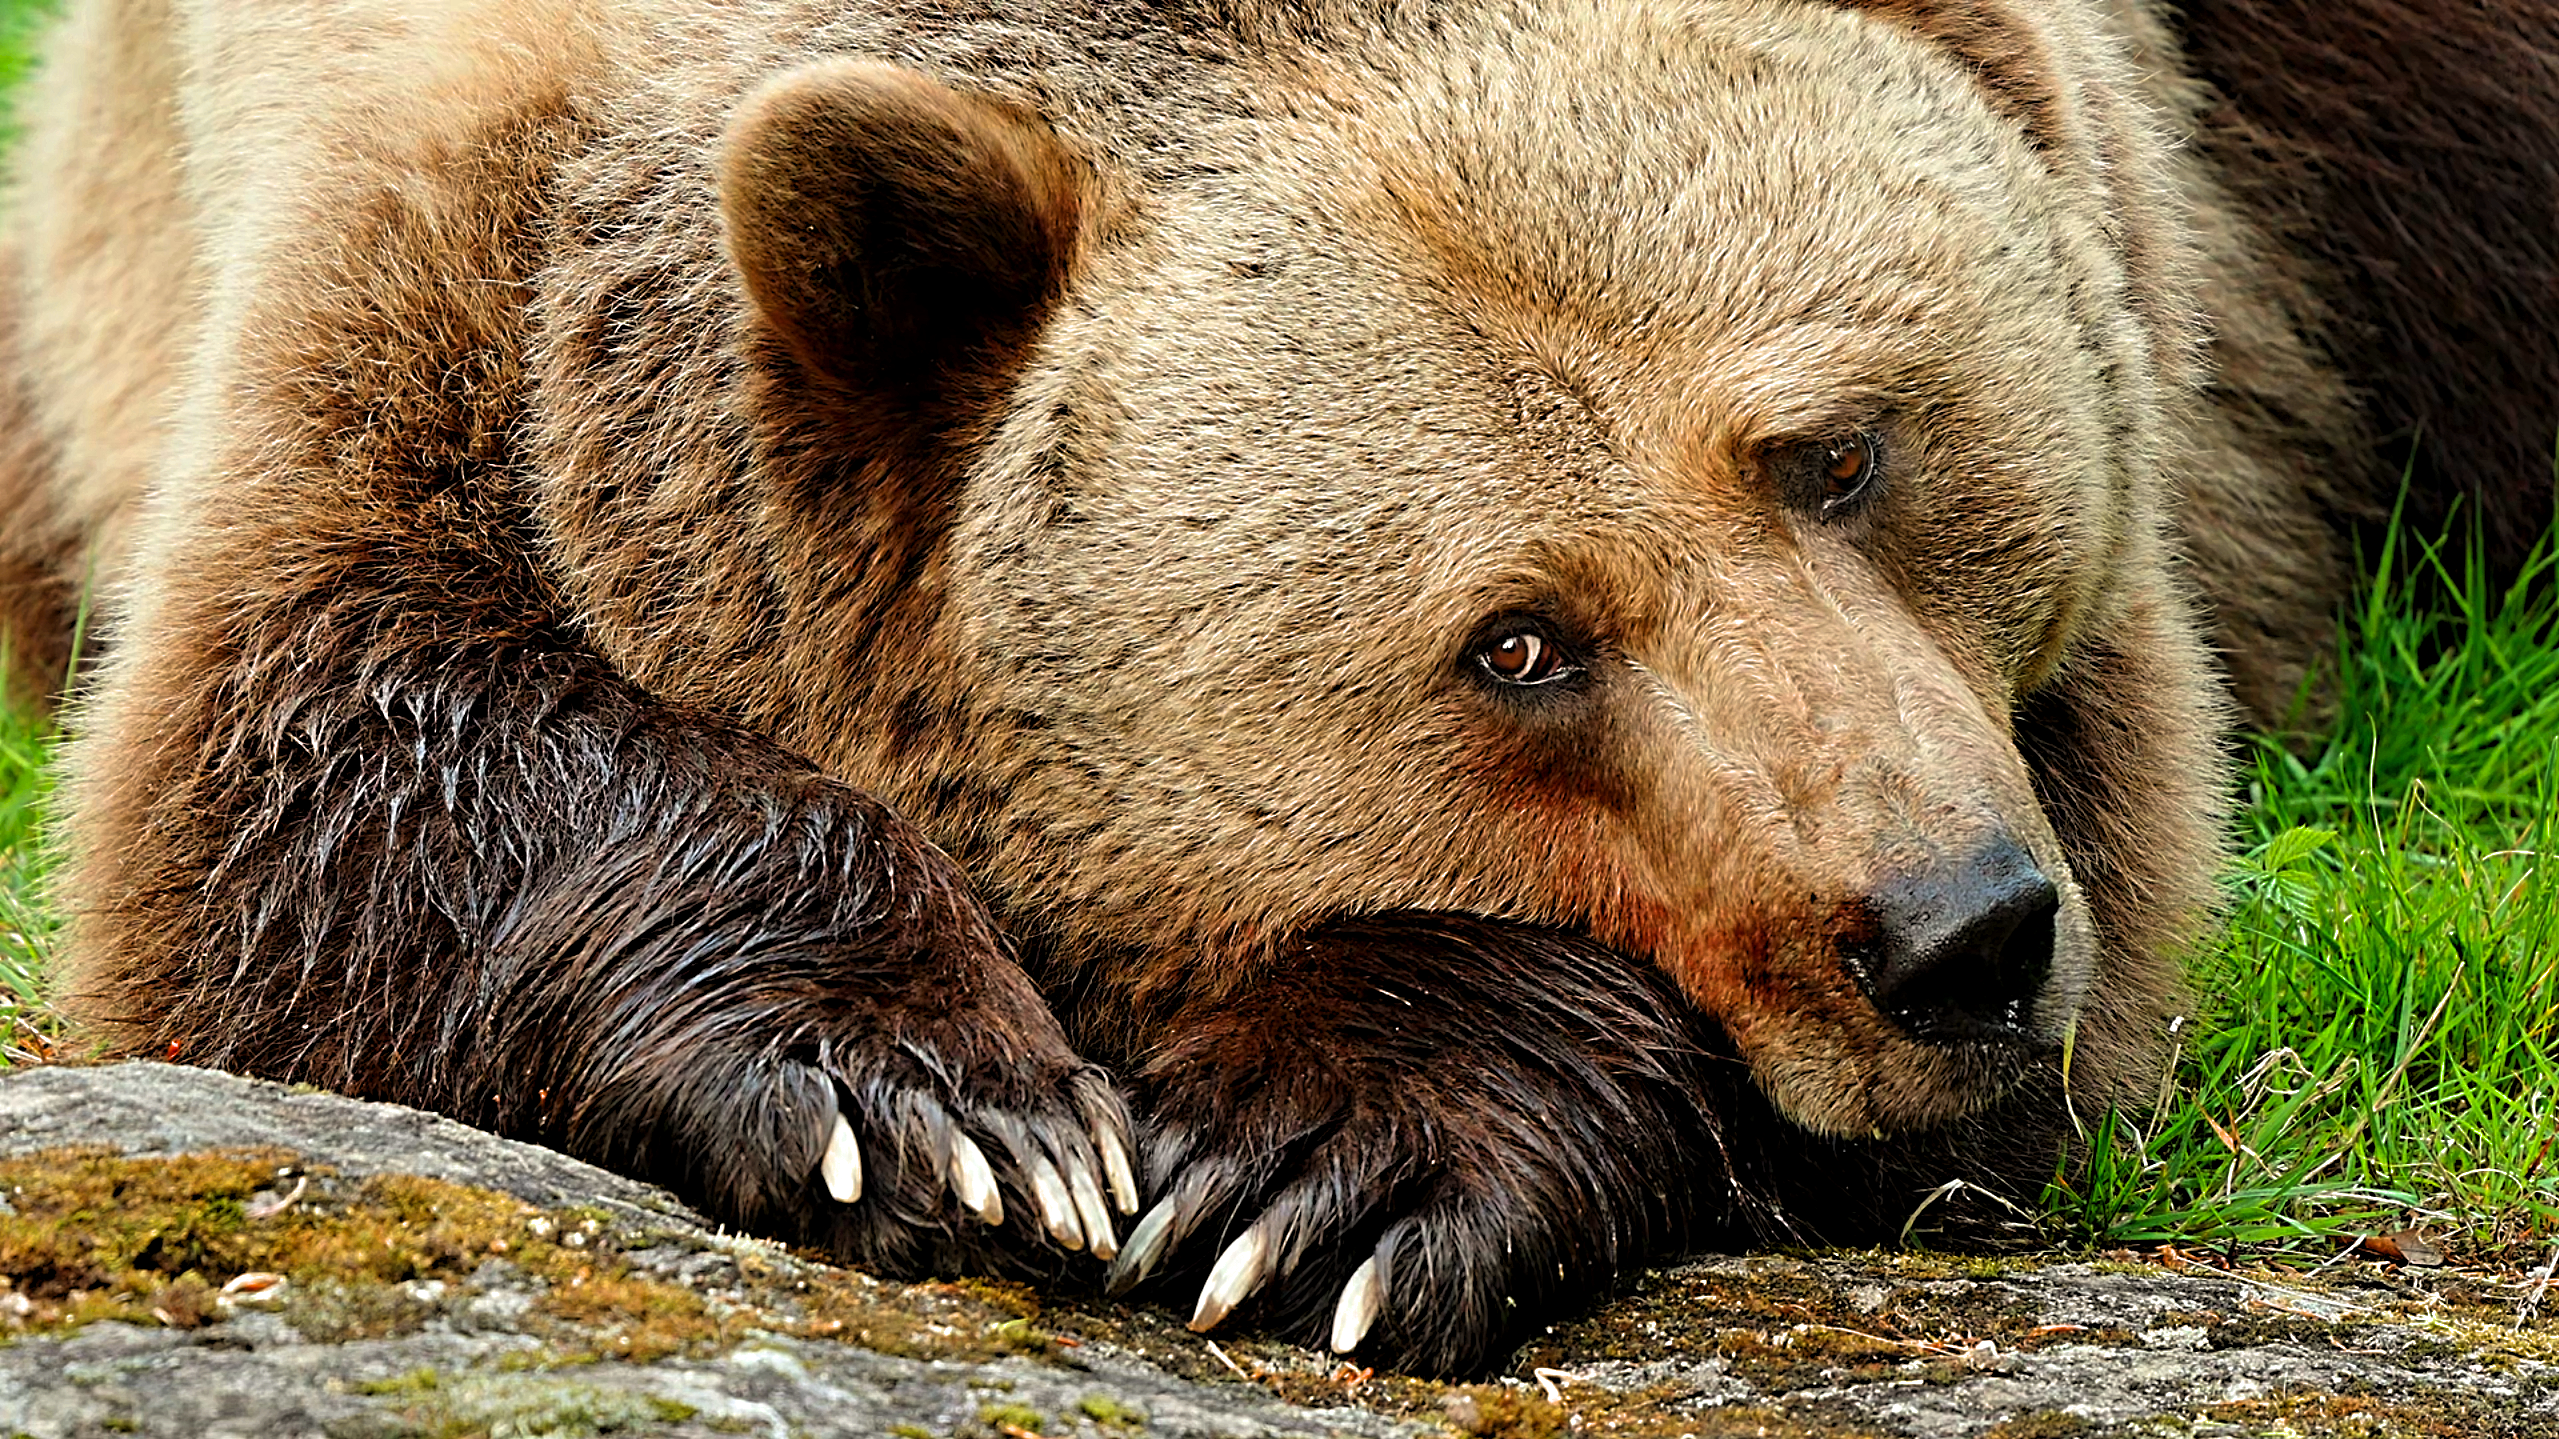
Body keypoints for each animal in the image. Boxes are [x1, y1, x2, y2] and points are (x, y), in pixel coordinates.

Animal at [0, 0, 2551, 1375]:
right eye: (1517, 639)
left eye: (1832, 443)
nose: (1953, 934)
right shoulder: (456, 296)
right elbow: (307, 787)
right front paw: (929, 1100)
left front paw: (1330, 1163)